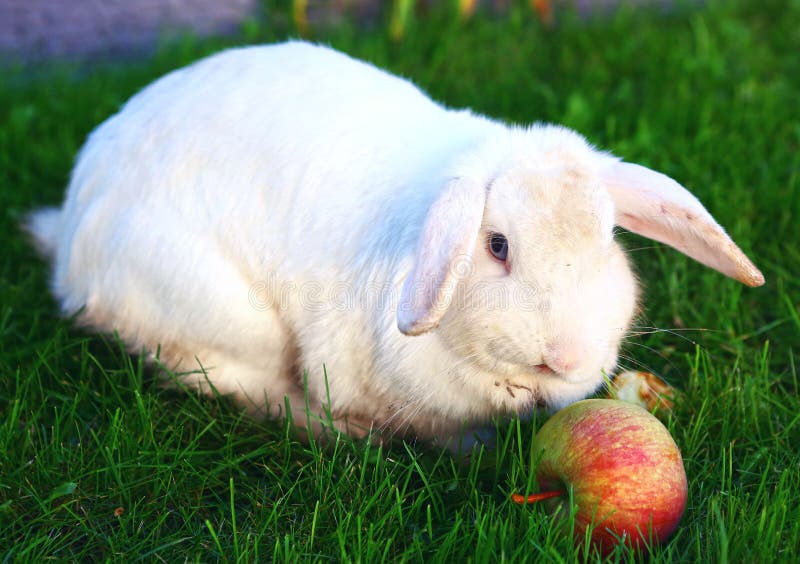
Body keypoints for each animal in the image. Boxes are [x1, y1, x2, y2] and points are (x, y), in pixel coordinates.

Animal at [25, 40, 764, 447]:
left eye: (607, 240)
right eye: (497, 246)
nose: (566, 355)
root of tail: (72, 230)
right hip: (222, 318)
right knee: (239, 383)